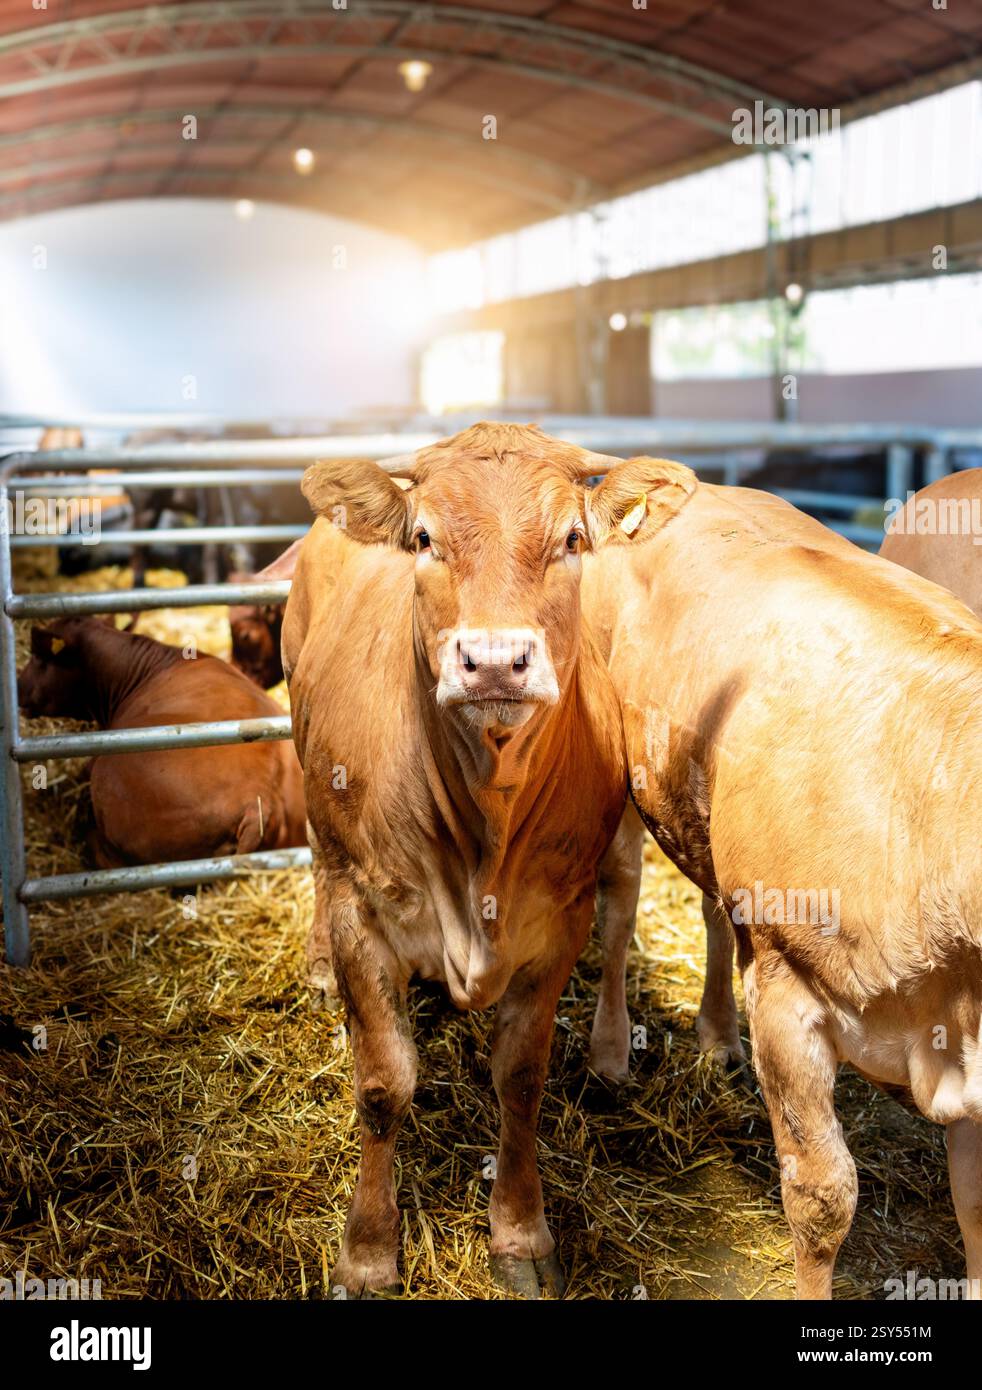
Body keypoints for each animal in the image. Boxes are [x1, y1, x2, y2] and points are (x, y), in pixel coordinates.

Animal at [282, 422, 632, 1298]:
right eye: (424, 539)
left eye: (572, 539)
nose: (497, 661)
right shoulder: (363, 908)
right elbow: (384, 1082)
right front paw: (368, 1250)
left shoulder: (561, 919)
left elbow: (522, 1078)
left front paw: (521, 1232)